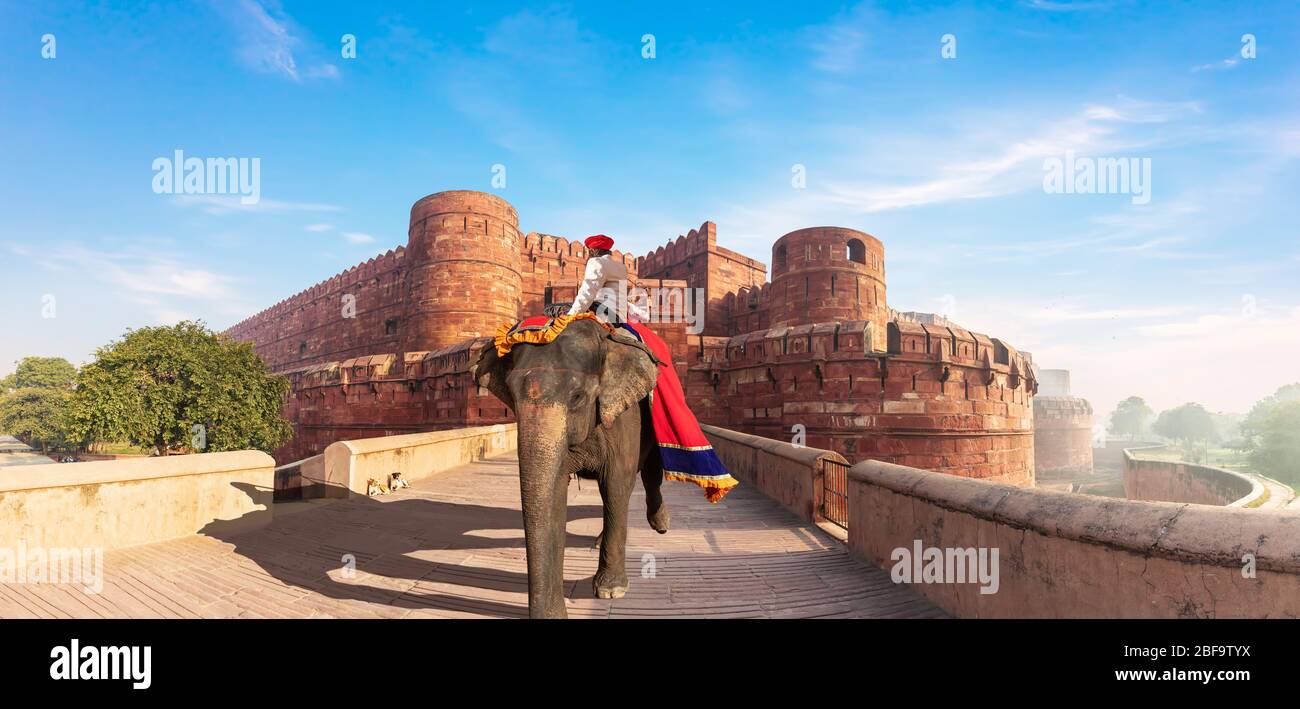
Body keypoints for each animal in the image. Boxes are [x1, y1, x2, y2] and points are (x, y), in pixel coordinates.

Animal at [470, 317, 669, 618]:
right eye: (512, 396)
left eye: (577, 396)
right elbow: (554, 490)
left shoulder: (625, 417)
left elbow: (616, 483)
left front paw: (611, 590)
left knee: (651, 470)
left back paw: (660, 524)